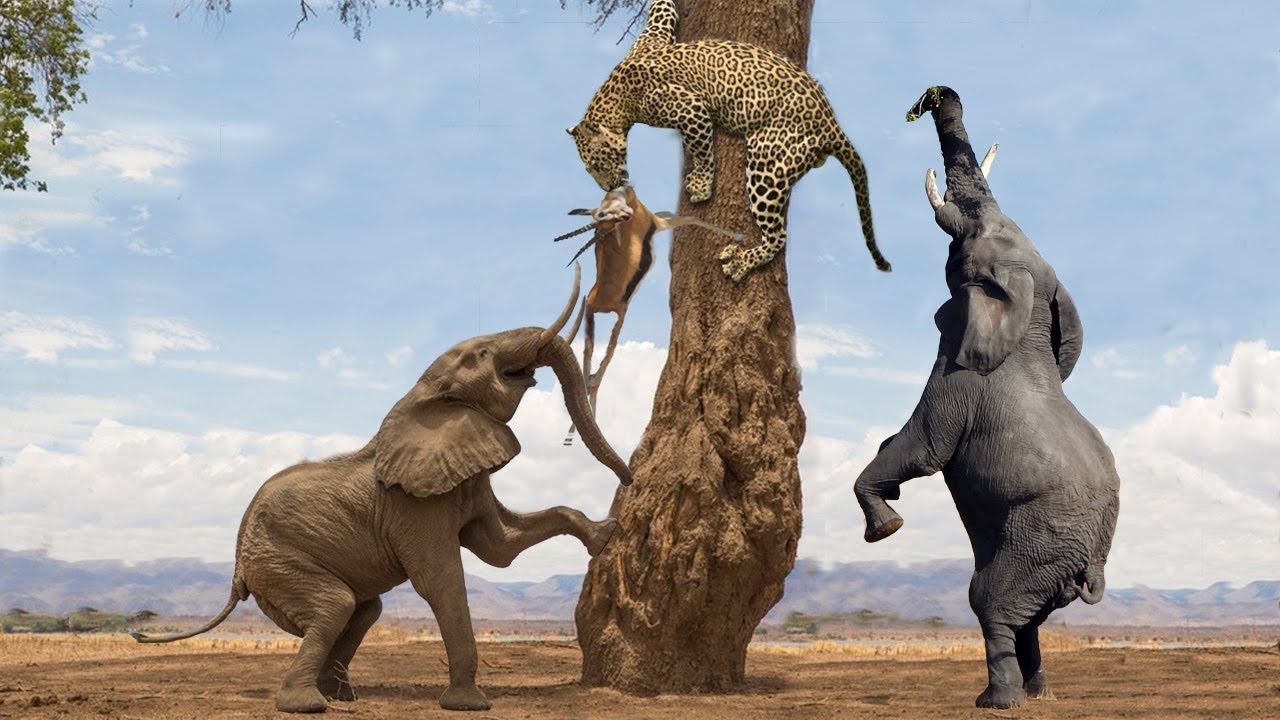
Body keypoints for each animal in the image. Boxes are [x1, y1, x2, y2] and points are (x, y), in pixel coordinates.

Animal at [131, 266, 633, 713]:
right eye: (484, 352)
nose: (628, 477)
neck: (421, 395)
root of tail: (237, 567)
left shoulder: (463, 477)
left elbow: (500, 548)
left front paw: (606, 533)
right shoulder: (412, 504)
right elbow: (442, 580)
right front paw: (469, 704)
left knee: (363, 610)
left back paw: (339, 696)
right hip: (277, 561)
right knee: (335, 606)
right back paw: (307, 704)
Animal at [554, 184, 743, 445]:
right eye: (600, 214)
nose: (624, 215)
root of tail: (592, 300)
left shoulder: (657, 216)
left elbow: (675, 212)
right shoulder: (660, 222)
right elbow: (692, 217)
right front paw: (738, 236)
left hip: (596, 323)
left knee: (588, 366)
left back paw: (576, 432)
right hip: (617, 321)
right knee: (597, 371)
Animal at [566, 0, 890, 282]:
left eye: (597, 165)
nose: (608, 188)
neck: (614, 98)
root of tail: (831, 123)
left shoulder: (690, 108)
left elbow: (701, 149)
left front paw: (701, 185)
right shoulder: (653, 35)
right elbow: (662, 9)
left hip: (767, 167)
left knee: (778, 236)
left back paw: (740, 261)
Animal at [852, 86, 1120, 710]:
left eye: (968, 229)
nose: (935, 95)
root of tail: (1089, 567)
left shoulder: (959, 373)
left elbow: (923, 446)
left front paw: (885, 527)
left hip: (1036, 542)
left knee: (991, 600)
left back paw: (998, 702)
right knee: (1031, 617)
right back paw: (1039, 696)